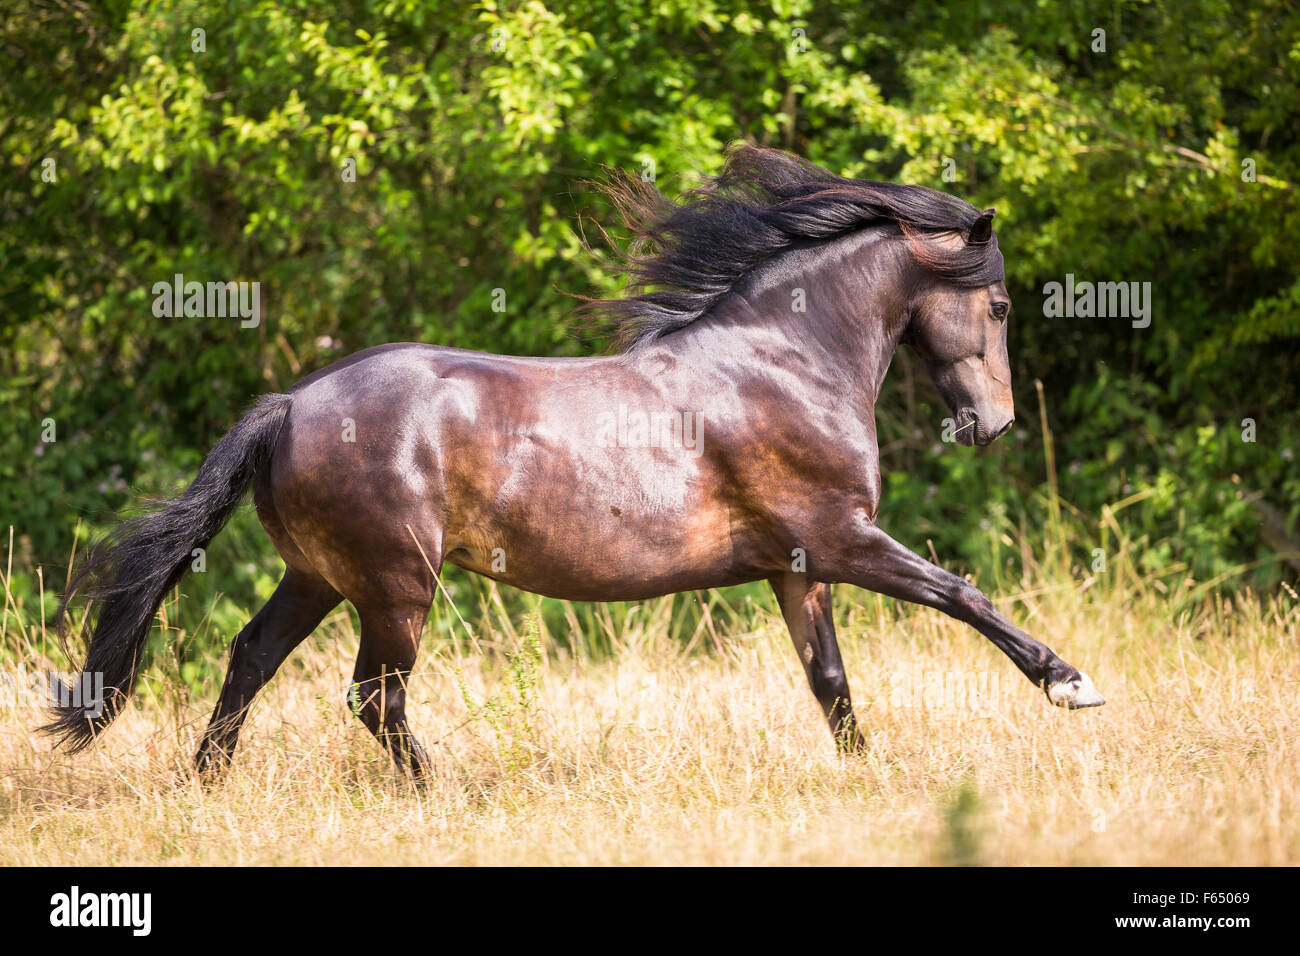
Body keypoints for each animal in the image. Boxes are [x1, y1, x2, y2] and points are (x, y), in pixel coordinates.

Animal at [43, 145, 1103, 777]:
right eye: (1000, 305)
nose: (994, 424)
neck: (785, 360)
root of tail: (291, 404)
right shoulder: (842, 538)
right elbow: (962, 595)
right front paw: (1070, 683)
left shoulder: (800, 567)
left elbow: (832, 682)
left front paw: (867, 775)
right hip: (395, 584)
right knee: (373, 696)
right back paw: (442, 794)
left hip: (320, 575)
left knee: (253, 657)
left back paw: (207, 784)